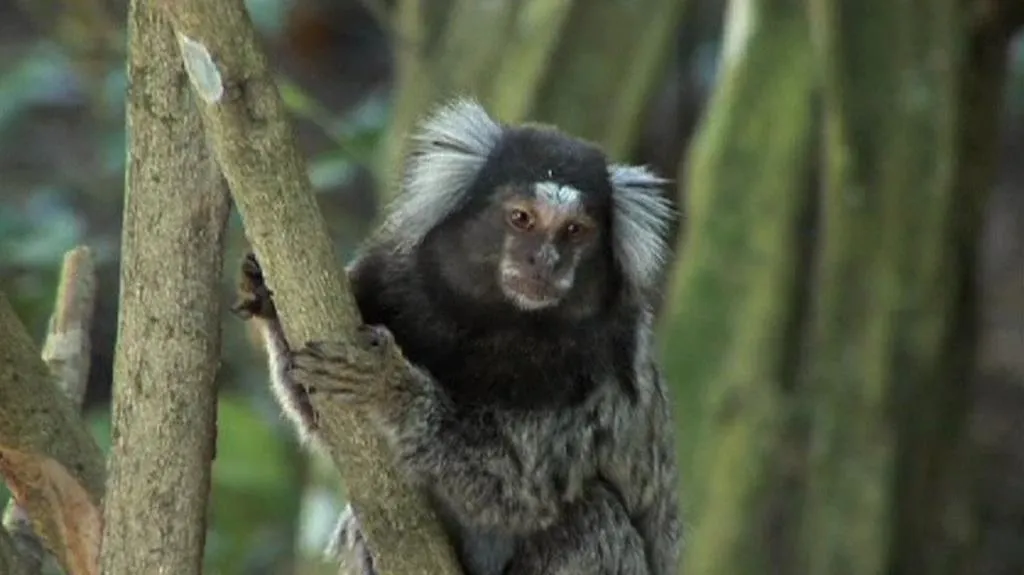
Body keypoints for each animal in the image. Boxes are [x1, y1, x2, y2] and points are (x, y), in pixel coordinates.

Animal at [233, 98, 682, 575]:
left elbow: (521, 485)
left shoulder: (602, 362)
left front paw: (393, 388)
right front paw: (269, 300)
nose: (545, 261)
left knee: (594, 516)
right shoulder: (388, 275)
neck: (487, 322)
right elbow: (318, 415)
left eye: (575, 231)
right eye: (521, 218)